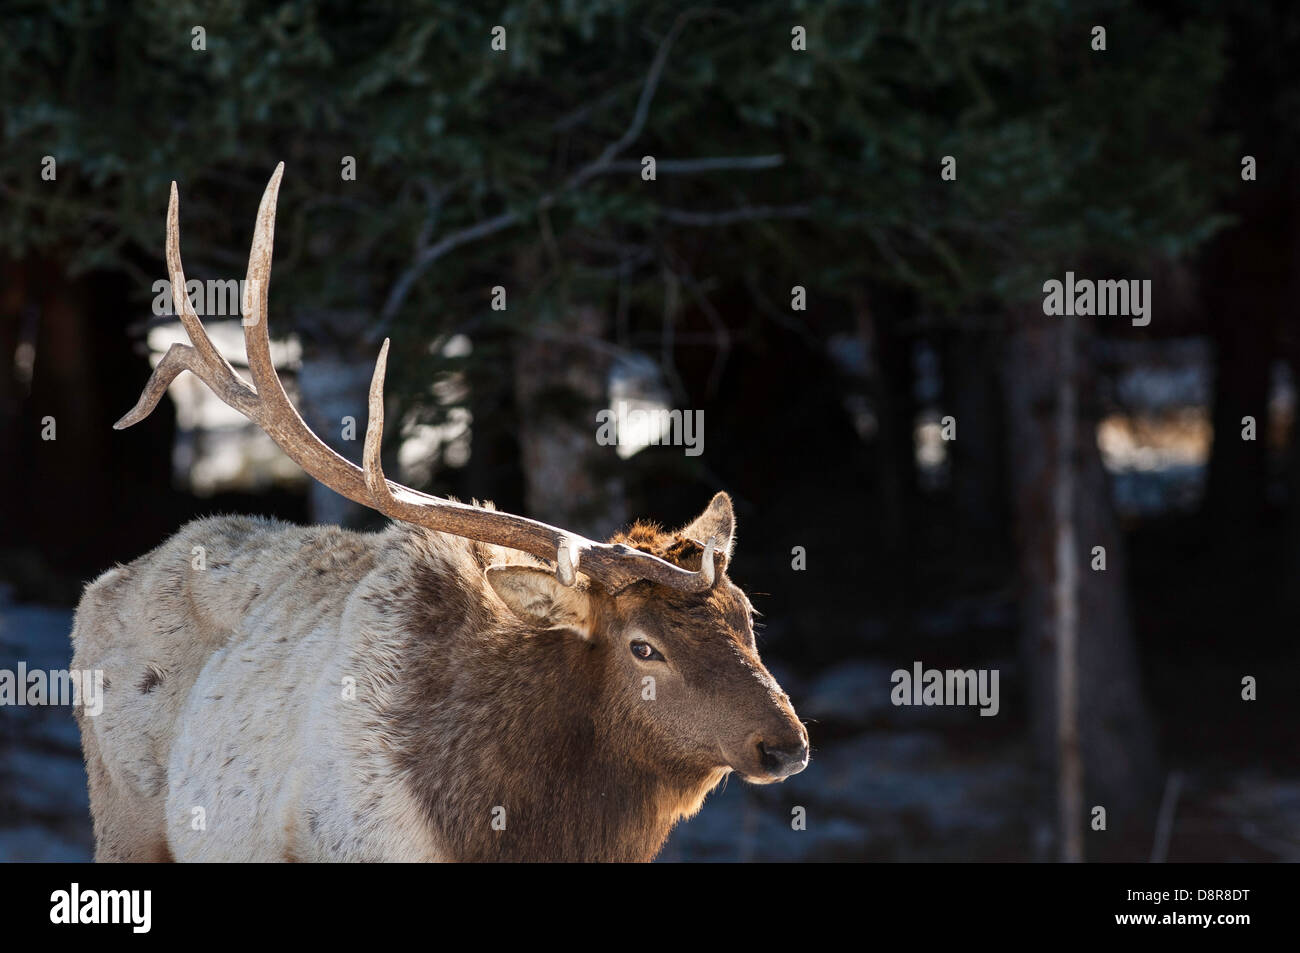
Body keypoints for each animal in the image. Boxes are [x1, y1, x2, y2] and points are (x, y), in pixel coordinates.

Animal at [70, 165, 808, 862]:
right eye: (644, 646)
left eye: (748, 618)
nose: (787, 744)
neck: (514, 835)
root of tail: (98, 588)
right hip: (124, 818)